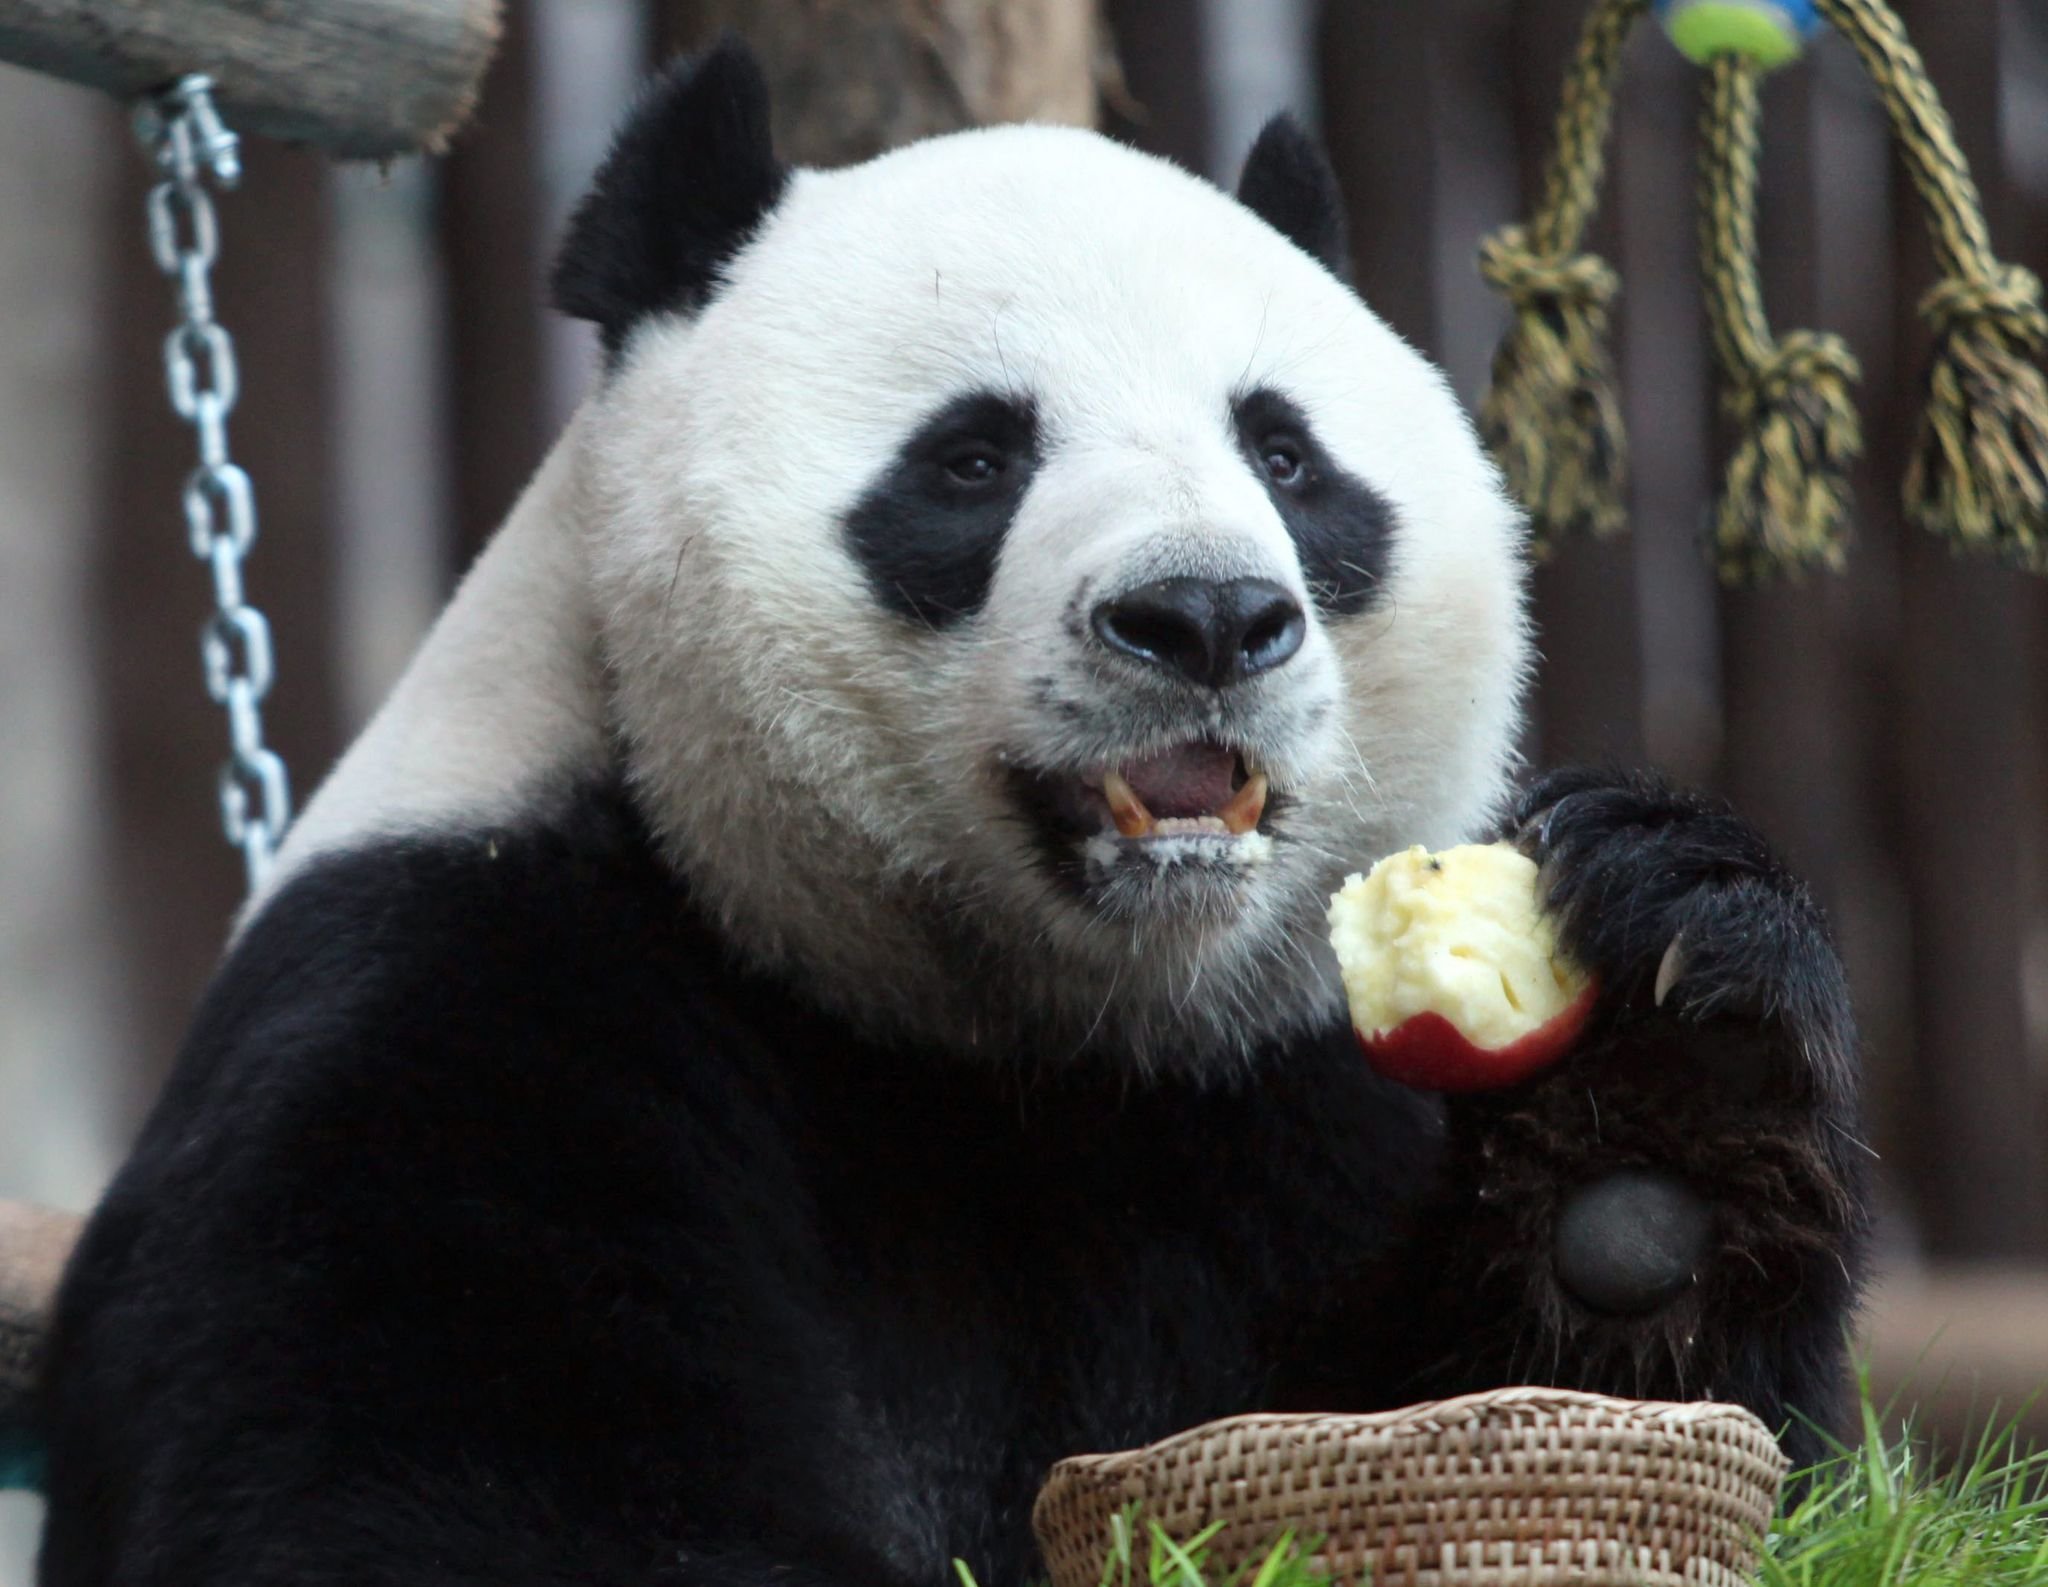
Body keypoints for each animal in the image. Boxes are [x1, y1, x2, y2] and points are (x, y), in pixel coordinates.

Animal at [36, 40, 1866, 1587]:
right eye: (974, 458)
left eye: (1284, 454)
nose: (1205, 615)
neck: (1023, 1033)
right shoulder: (455, 992)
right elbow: (445, 1479)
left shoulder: (1284, 1092)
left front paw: (1656, 1110)